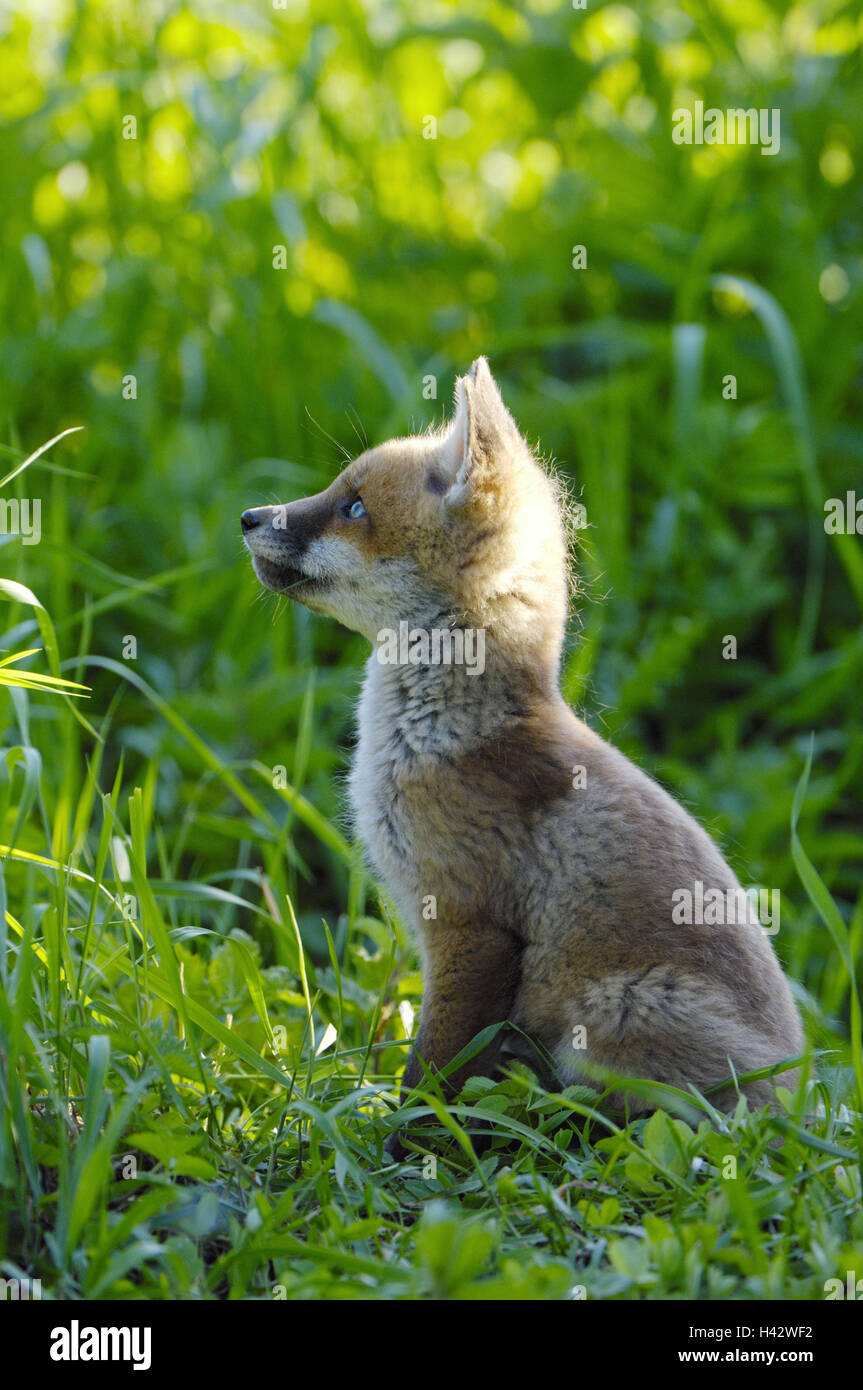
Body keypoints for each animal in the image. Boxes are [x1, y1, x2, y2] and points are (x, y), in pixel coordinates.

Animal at [241, 358, 804, 1141]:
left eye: (352, 507)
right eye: (336, 492)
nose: (248, 517)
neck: (440, 735)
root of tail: (795, 1109)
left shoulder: (469, 923)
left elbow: (435, 1066)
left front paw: (412, 1140)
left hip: (619, 1012)